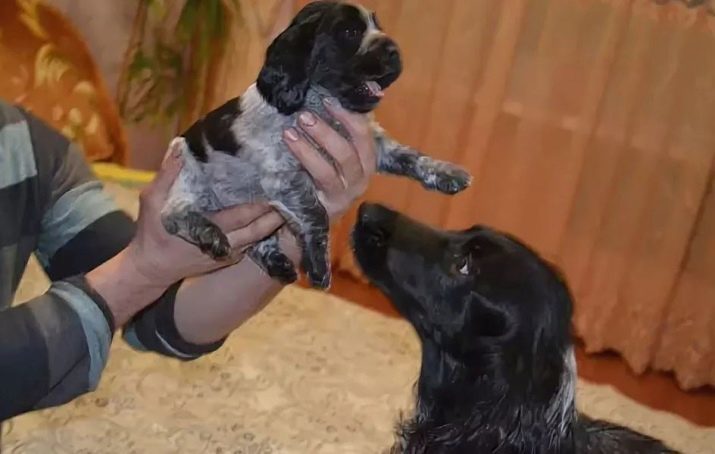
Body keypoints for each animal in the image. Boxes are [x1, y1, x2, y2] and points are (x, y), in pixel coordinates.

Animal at [161, 0, 470, 288]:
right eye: (349, 32)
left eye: (377, 26)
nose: (395, 51)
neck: (318, 103)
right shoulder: (283, 175)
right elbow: (317, 213)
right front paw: (320, 265)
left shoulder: (374, 144)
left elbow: (410, 155)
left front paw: (448, 173)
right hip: (192, 180)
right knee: (171, 215)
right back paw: (210, 235)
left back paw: (276, 262)